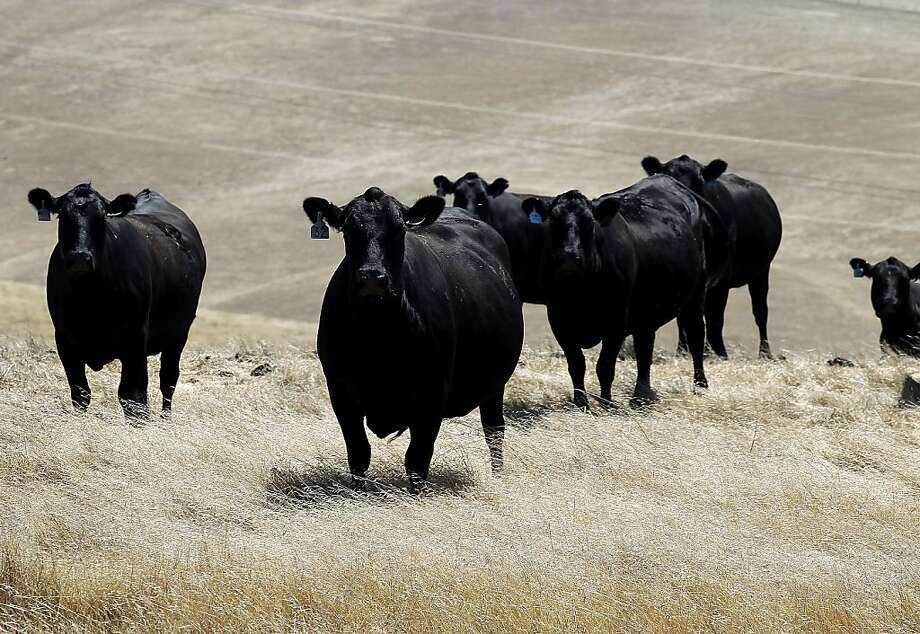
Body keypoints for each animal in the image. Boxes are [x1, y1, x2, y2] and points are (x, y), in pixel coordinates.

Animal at [27, 184, 206, 418]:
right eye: (61, 216)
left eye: (102, 217)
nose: (80, 258)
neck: (88, 297)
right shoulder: (64, 340)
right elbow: (80, 393)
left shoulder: (135, 339)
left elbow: (131, 397)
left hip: (178, 334)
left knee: (168, 379)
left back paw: (165, 418)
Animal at [302, 187, 524, 492]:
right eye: (348, 230)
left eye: (399, 230)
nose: (371, 277)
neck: (376, 335)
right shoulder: (340, 391)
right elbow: (358, 453)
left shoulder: (432, 392)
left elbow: (417, 459)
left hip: (495, 384)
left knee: (494, 430)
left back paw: (498, 476)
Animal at [522, 174, 709, 409]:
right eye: (553, 224)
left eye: (589, 224)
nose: (570, 256)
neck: (579, 293)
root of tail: (665, 179)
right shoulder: (558, 320)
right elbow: (576, 364)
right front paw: (581, 403)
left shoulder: (616, 321)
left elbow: (604, 366)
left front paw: (606, 402)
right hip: (646, 310)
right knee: (644, 347)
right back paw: (640, 395)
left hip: (696, 294)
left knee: (696, 334)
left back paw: (700, 386)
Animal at [641, 154, 782, 359]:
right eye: (666, 177)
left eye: (699, 182)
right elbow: (684, 319)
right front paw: (682, 351)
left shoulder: (723, 277)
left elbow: (715, 316)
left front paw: (720, 354)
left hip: (762, 271)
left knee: (760, 311)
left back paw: (765, 353)